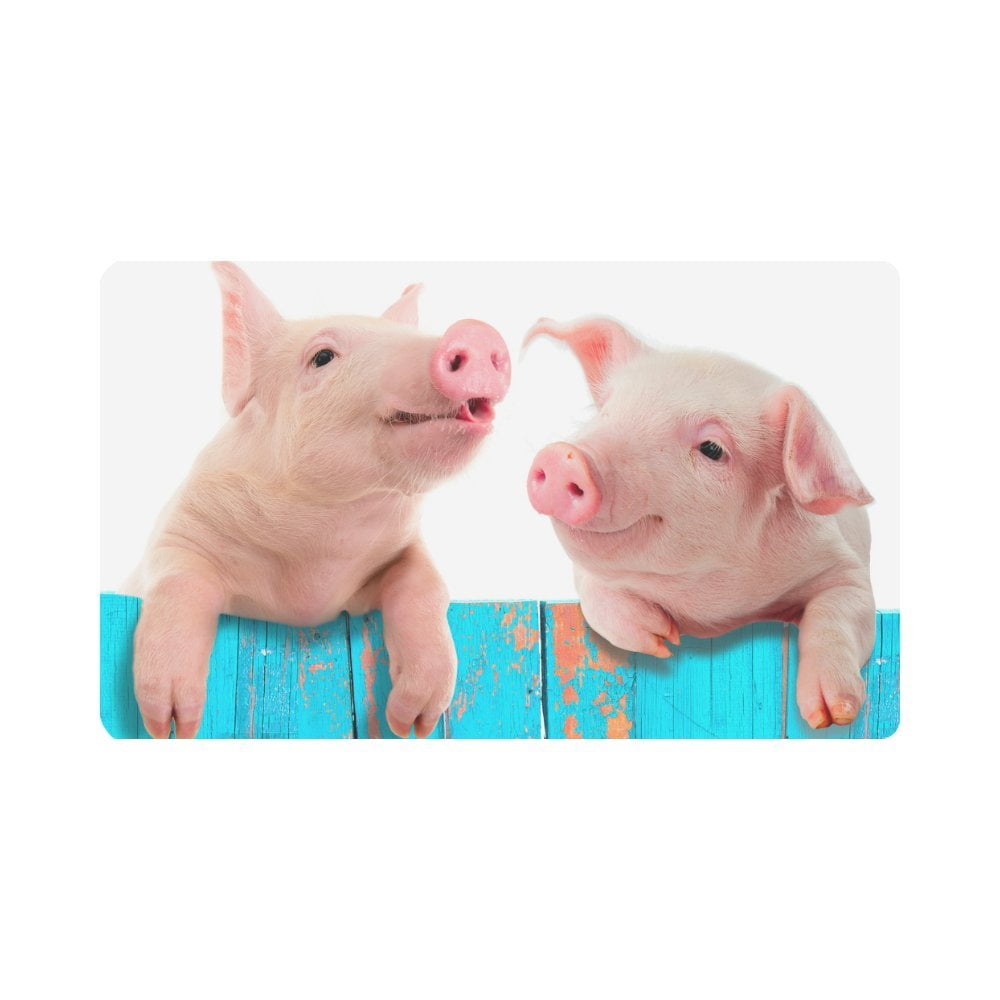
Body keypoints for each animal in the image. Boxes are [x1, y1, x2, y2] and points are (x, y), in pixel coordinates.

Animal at [124, 263, 510, 739]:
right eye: (322, 357)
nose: (475, 332)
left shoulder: (403, 551)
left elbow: (426, 584)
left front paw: (411, 723)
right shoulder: (177, 537)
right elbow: (177, 582)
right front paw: (171, 724)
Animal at [525, 315, 875, 730]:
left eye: (712, 449)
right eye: (607, 409)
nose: (564, 457)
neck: (715, 611)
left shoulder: (844, 567)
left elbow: (839, 612)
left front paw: (833, 714)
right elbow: (596, 592)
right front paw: (662, 639)